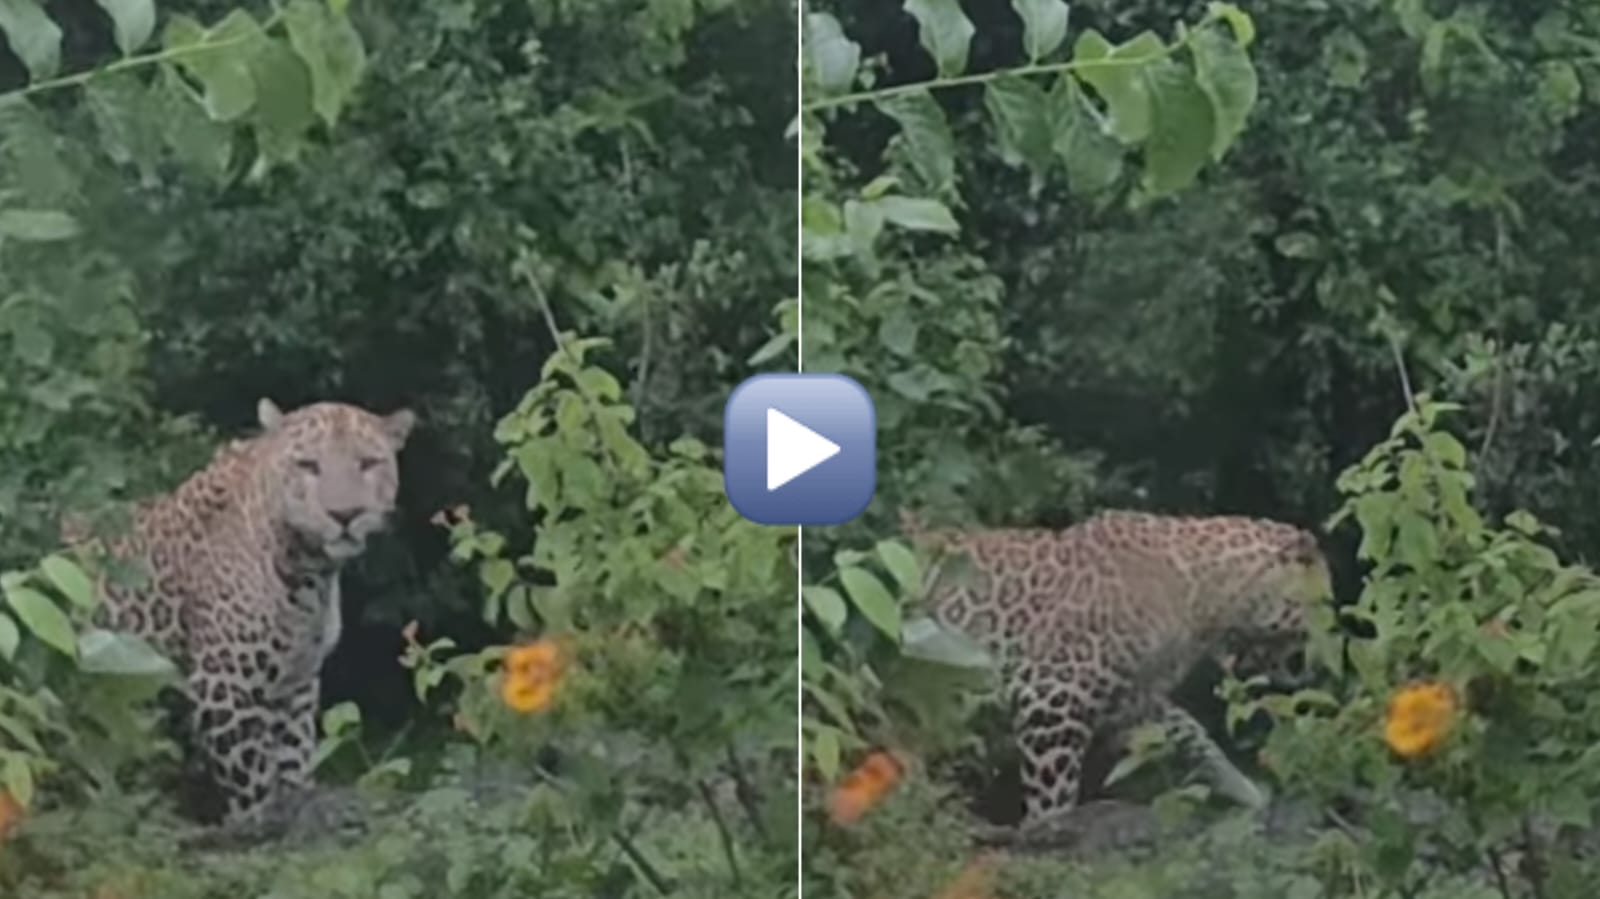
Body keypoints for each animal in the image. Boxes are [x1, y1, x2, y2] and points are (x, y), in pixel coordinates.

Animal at [68, 398, 415, 832]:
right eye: (308, 465)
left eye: (368, 463)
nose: (345, 514)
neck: (311, 573)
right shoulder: (223, 683)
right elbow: (255, 780)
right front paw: (258, 828)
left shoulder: (294, 686)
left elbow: (293, 762)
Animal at [904, 508, 1331, 838]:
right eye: (1322, 601)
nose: (1321, 662)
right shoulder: (1053, 694)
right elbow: (1053, 787)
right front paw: (1047, 832)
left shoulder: (1134, 700)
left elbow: (1192, 735)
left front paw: (1245, 791)